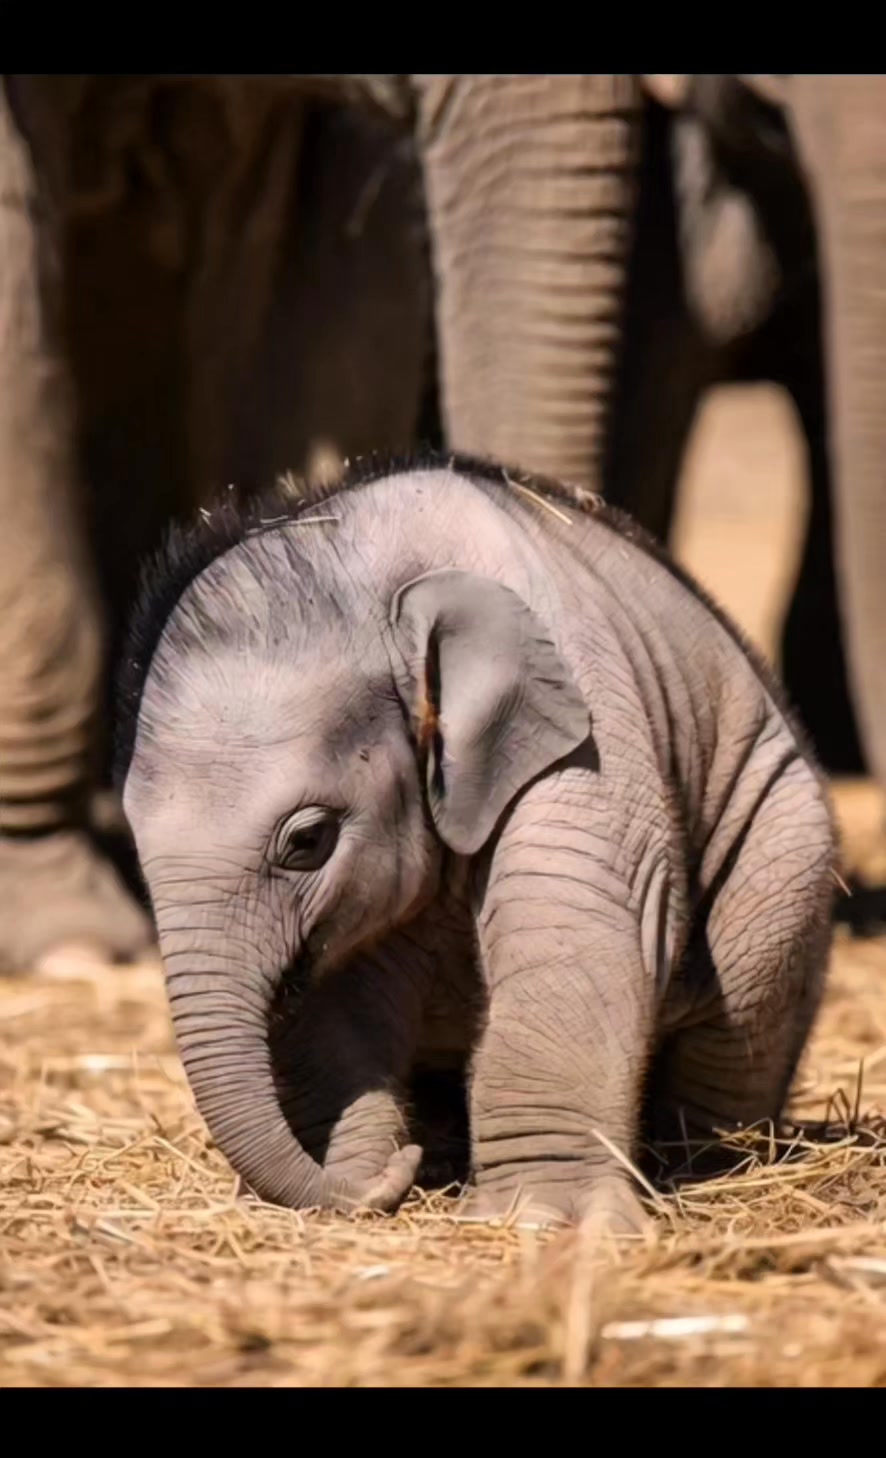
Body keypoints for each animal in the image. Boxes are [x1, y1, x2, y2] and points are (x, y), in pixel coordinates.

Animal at [116, 453, 836, 1227]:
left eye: (306, 840)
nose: (398, 1172)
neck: (385, 575)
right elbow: (340, 1009)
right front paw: (369, 1168)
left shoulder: (584, 729)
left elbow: (571, 933)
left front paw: (540, 1217)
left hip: (783, 854)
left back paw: (689, 1161)